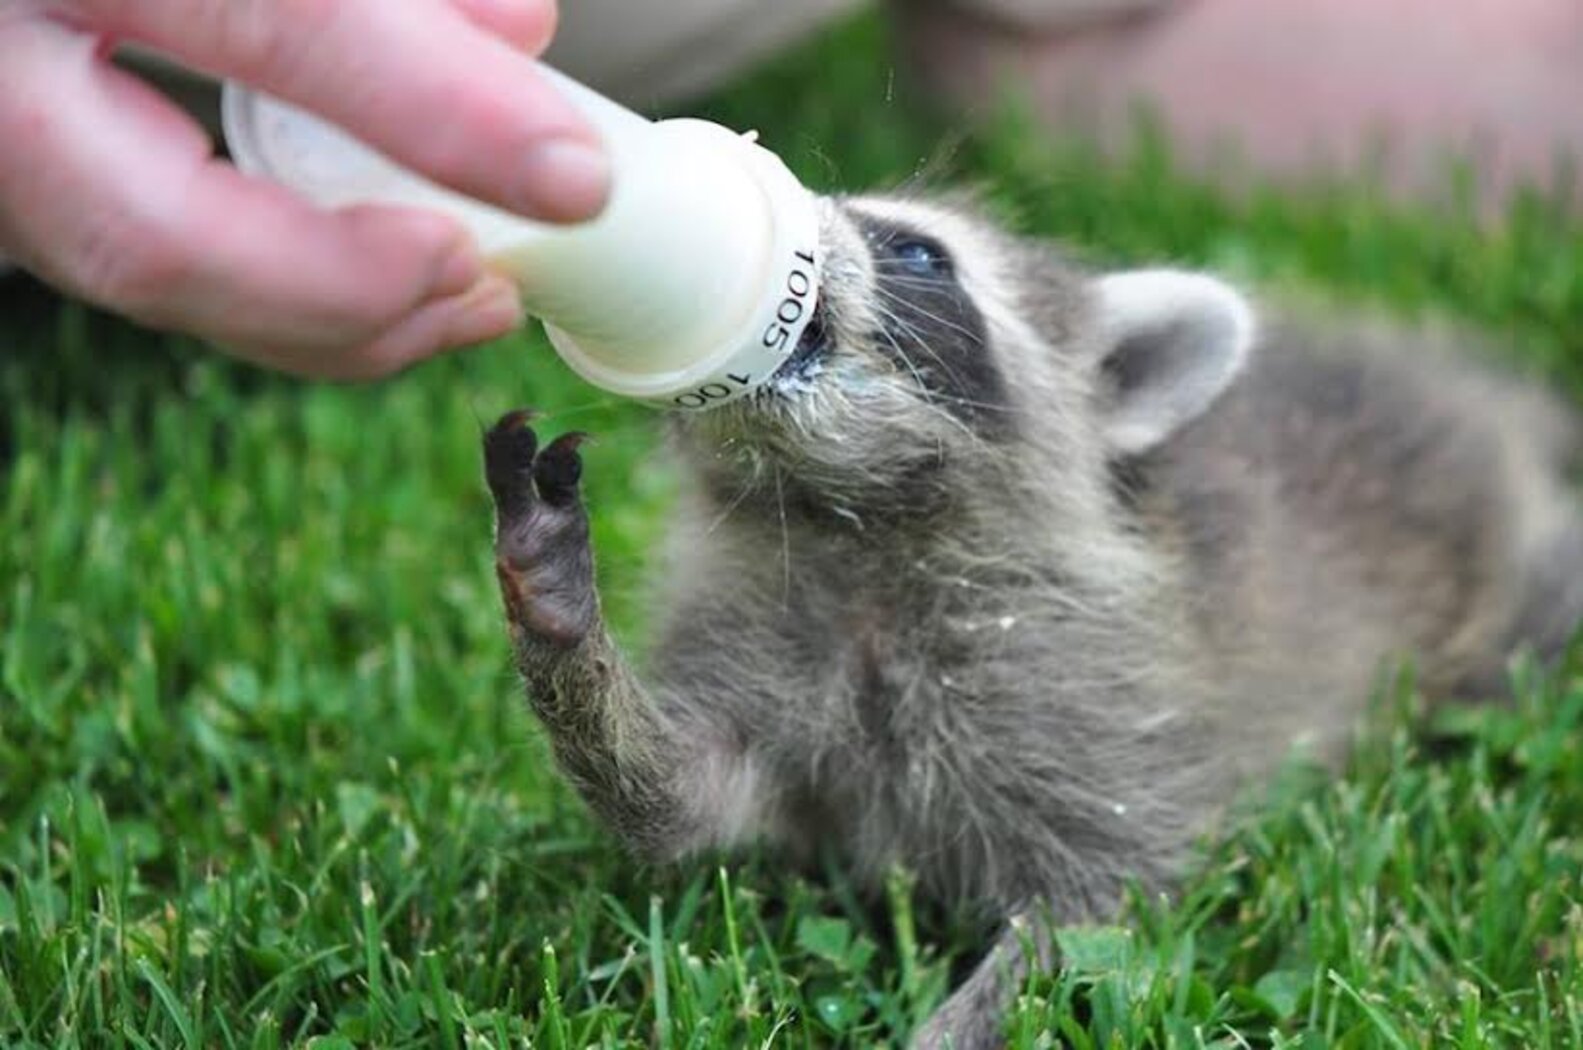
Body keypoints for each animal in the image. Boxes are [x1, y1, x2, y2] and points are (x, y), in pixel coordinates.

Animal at [481, 193, 1583, 1049]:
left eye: (919, 252)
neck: (857, 526)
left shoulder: (1096, 698)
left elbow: (1096, 905)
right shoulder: (759, 630)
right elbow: (673, 799)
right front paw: (563, 617)